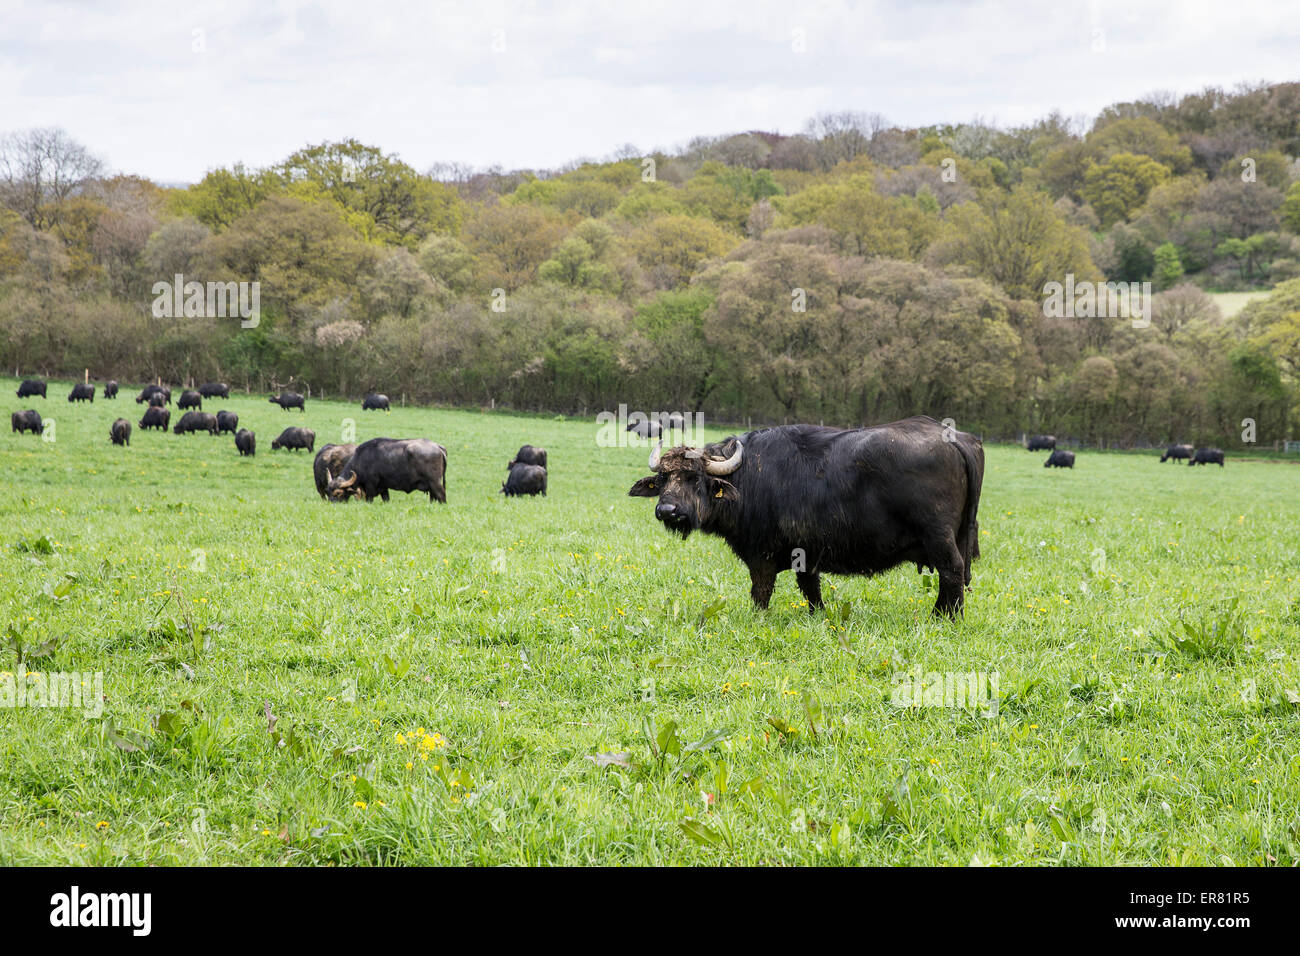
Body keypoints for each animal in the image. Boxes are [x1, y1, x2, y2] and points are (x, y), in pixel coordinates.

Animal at [628, 417, 983, 617]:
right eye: (663, 478)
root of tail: (956, 438)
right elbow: (811, 588)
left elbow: (761, 592)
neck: (747, 478)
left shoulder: (761, 555)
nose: (667, 510)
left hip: (938, 536)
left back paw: (945, 618)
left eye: (694, 478)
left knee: (951, 570)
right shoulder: (807, 553)